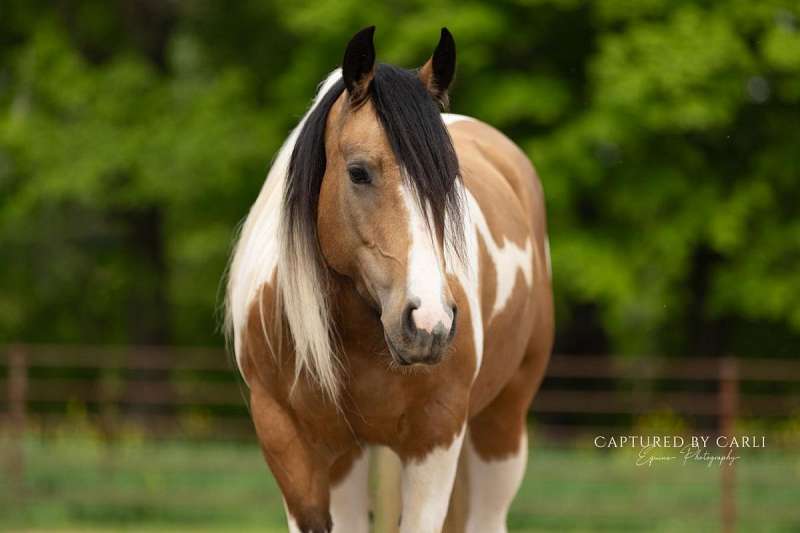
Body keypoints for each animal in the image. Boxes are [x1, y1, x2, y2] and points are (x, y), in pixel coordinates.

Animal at [226, 26, 553, 533]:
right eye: (359, 172)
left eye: (449, 180)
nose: (428, 324)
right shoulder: (290, 442)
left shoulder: (436, 438)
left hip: (502, 424)